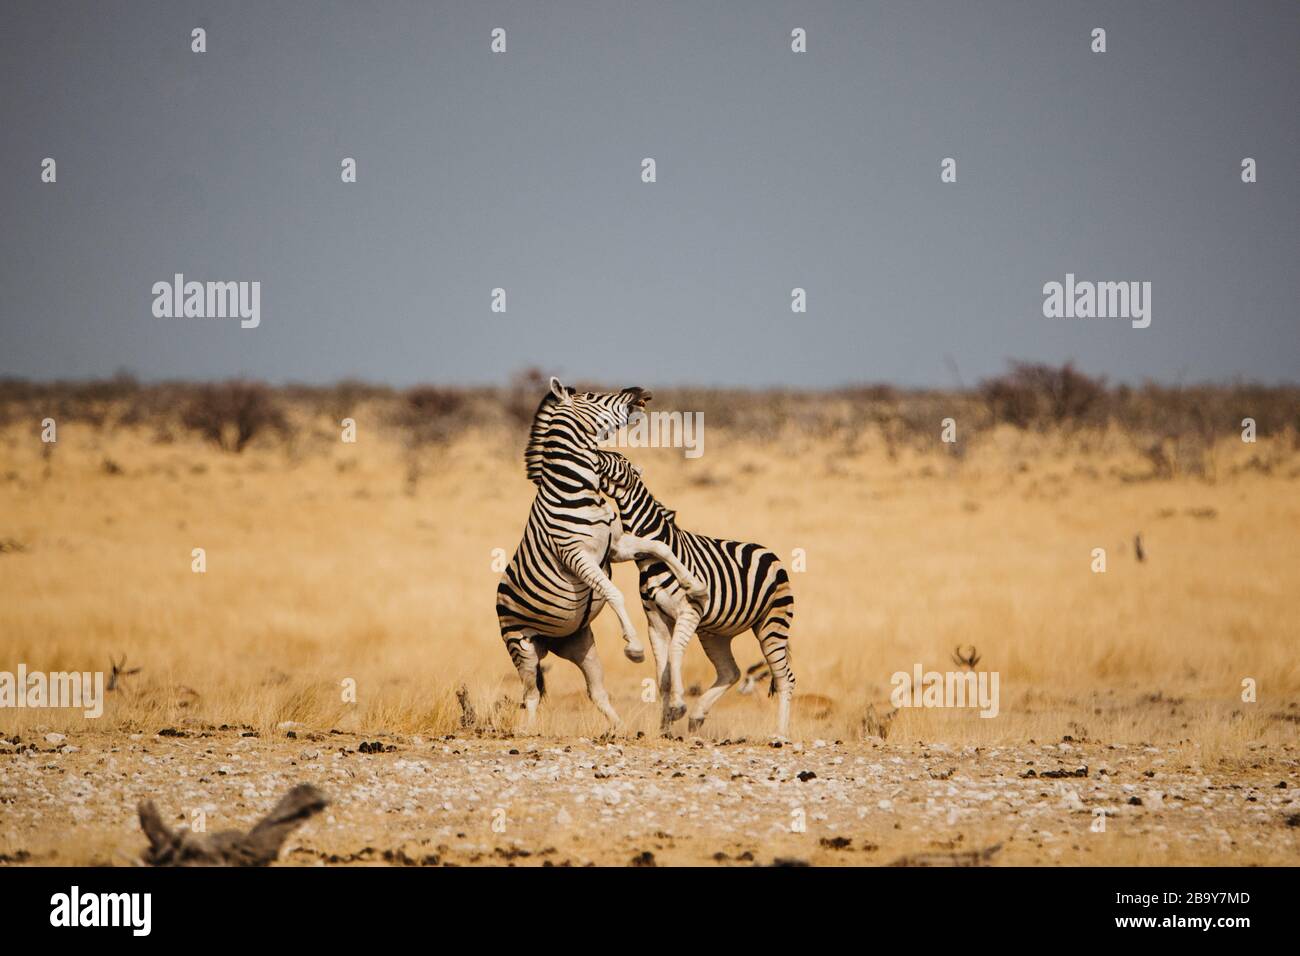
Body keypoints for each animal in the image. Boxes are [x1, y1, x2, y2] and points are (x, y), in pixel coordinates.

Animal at [496, 378, 707, 731]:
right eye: (593, 396)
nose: (639, 390)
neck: (577, 492)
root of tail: (549, 641)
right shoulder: (575, 556)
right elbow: (614, 593)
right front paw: (634, 647)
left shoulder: (616, 546)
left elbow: (660, 546)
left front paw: (696, 585)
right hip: (521, 645)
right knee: (531, 694)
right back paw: (527, 731)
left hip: (581, 645)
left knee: (596, 692)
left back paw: (621, 729)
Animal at [593, 450, 796, 737]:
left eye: (620, 460)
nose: (596, 452)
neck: (651, 562)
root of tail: (770, 553)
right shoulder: (655, 620)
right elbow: (663, 674)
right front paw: (665, 727)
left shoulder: (688, 611)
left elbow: (676, 652)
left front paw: (677, 706)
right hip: (716, 633)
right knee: (730, 672)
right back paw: (698, 715)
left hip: (772, 623)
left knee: (784, 678)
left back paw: (780, 734)